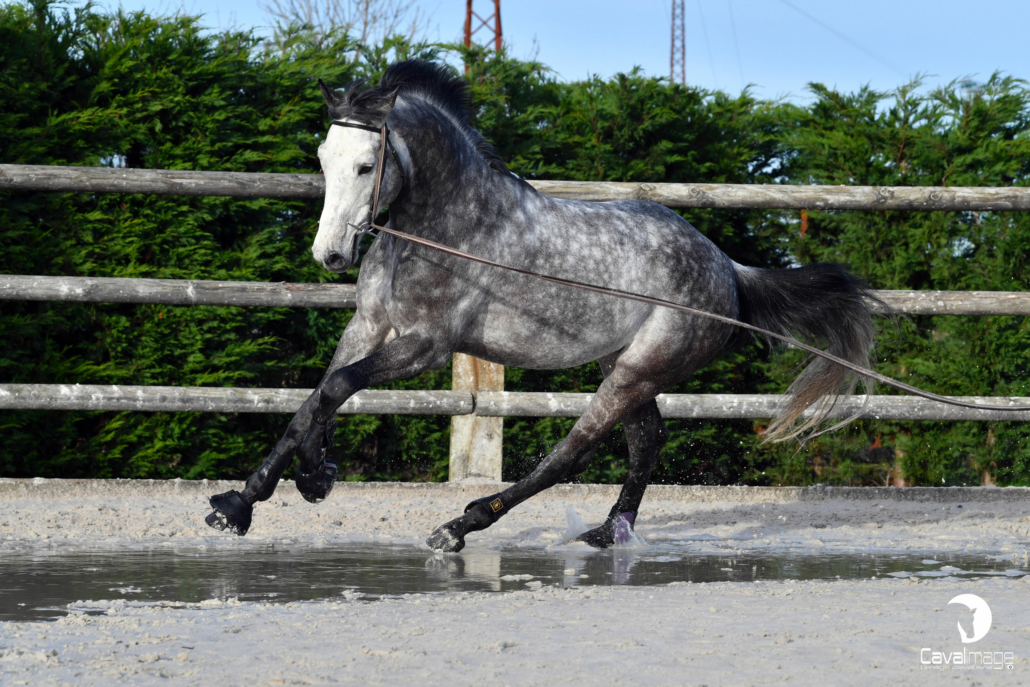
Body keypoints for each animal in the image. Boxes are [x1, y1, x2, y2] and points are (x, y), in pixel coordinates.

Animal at [205, 60, 879, 552]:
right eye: (323, 159)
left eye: (368, 165)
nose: (330, 256)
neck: (446, 224)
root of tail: (727, 269)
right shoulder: (369, 326)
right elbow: (315, 398)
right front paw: (243, 503)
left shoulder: (426, 346)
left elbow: (340, 385)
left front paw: (313, 478)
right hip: (624, 366)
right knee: (646, 441)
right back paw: (608, 533)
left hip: (636, 371)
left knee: (575, 450)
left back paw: (462, 525)